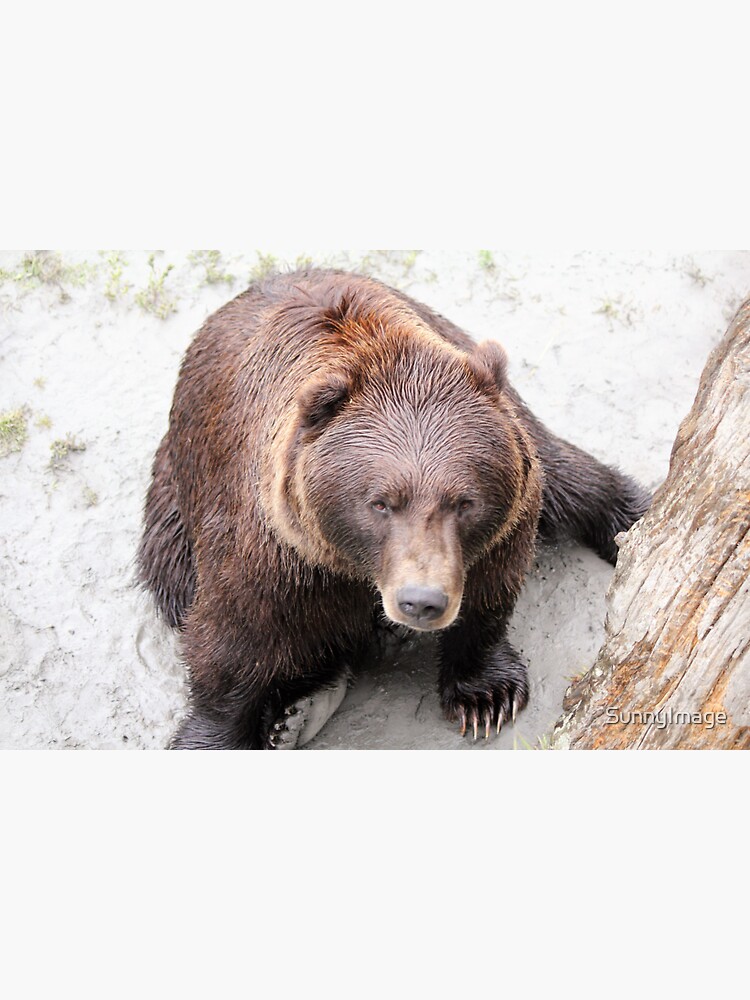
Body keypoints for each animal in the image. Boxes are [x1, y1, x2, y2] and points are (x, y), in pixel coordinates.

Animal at [138, 268, 651, 749]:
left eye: (465, 502)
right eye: (380, 503)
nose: (420, 600)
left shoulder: (503, 521)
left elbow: (490, 593)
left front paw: (485, 697)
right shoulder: (275, 547)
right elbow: (232, 640)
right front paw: (212, 736)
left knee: (570, 475)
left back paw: (634, 515)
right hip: (171, 501)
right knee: (174, 581)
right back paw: (295, 713)